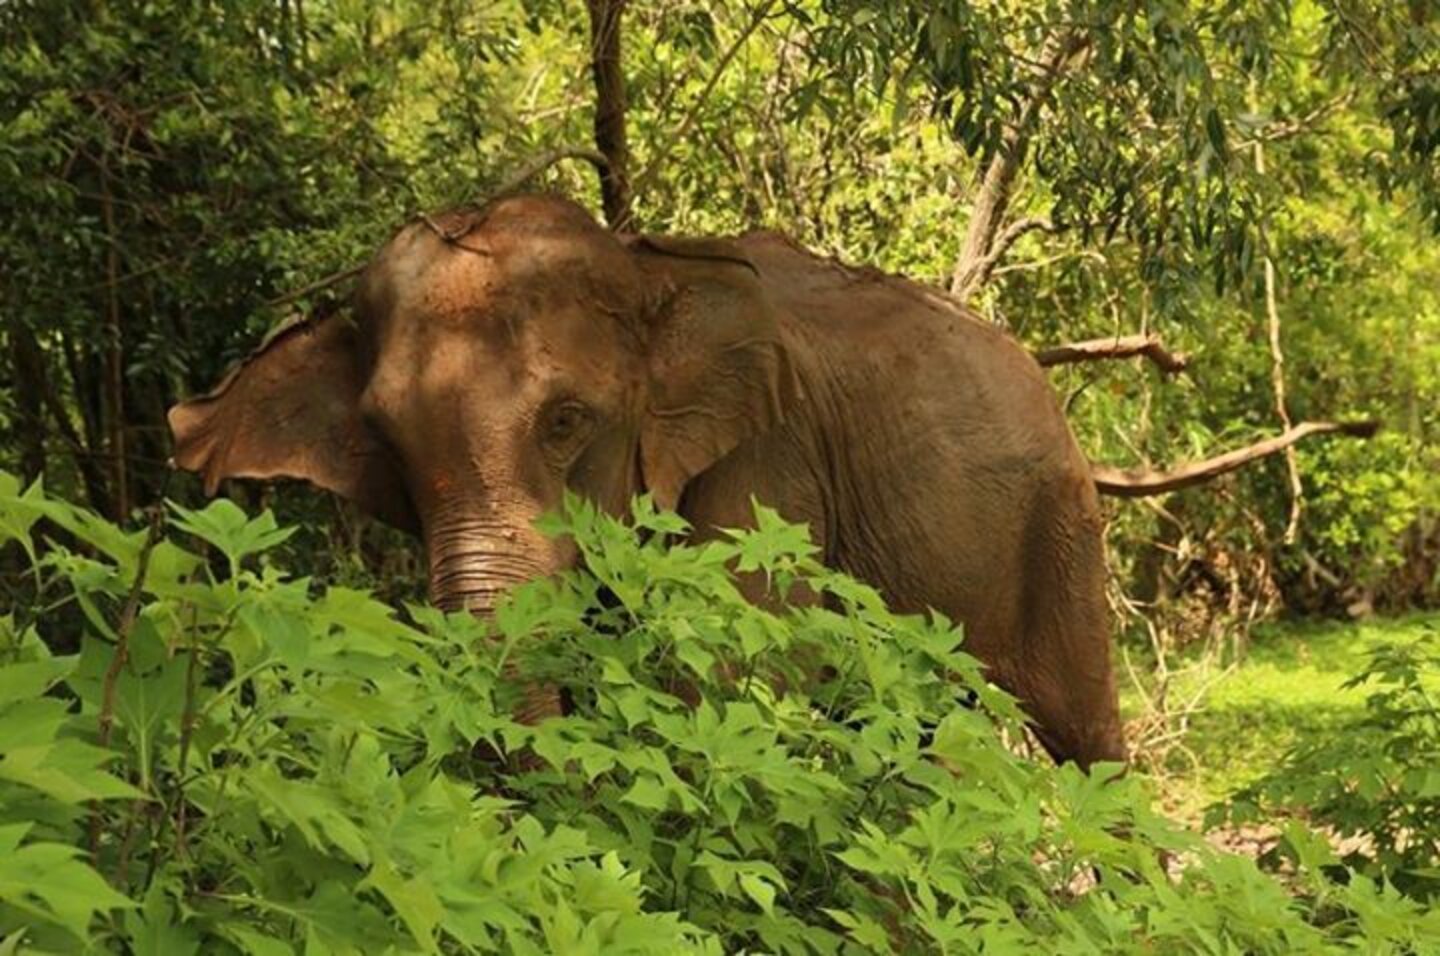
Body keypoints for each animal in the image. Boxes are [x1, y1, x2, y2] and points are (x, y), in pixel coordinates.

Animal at [168, 194, 1126, 768]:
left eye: (565, 422)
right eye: (386, 439)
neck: (649, 265)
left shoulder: (768, 477)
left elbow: (725, 695)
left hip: (1061, 531)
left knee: (1088, 739)